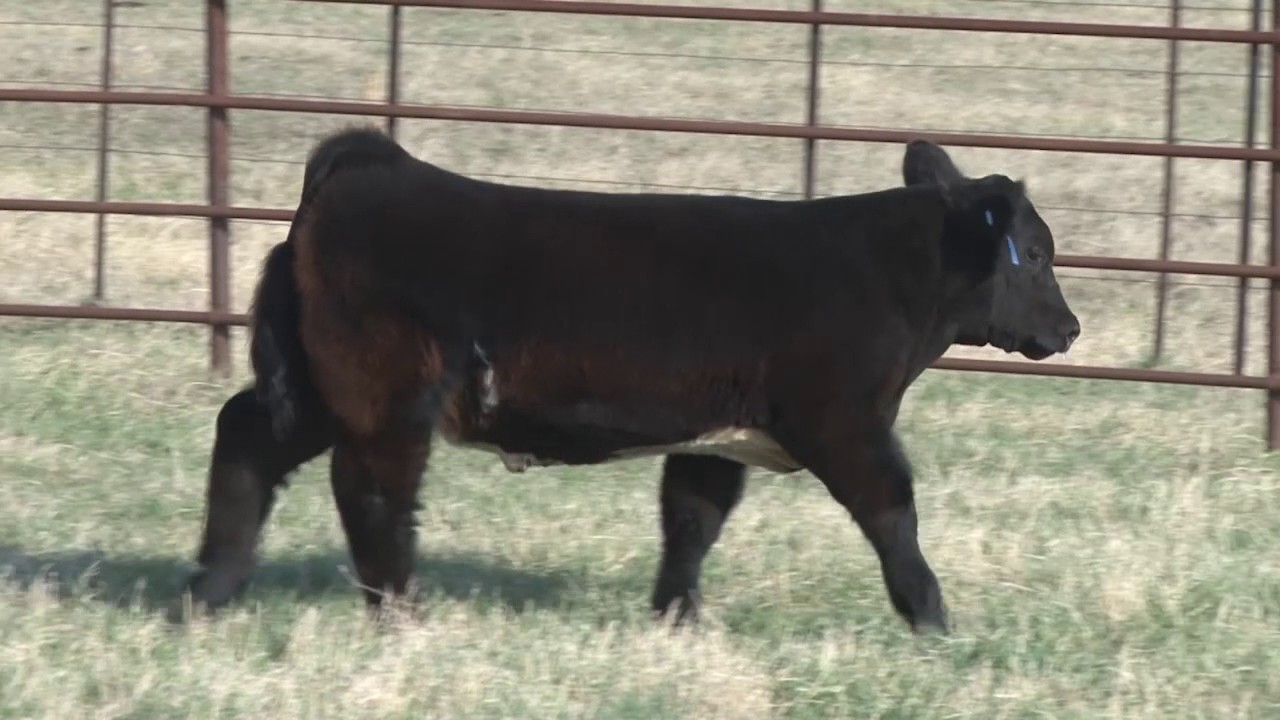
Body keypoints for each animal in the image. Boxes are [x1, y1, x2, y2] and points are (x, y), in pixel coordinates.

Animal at [184, 126, 1079, 634]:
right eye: (1034, 254)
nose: (1069, 329)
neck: (884, 273)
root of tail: (375, 166)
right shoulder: (844, 420)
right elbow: (893, 511)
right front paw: (932, 617)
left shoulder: (717, 433)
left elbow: (690, 520)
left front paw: (675, 620)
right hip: (387, 395)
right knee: (374, 492)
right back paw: (402, 615)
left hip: (316, 391)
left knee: (246, 438)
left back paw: (209, 592)